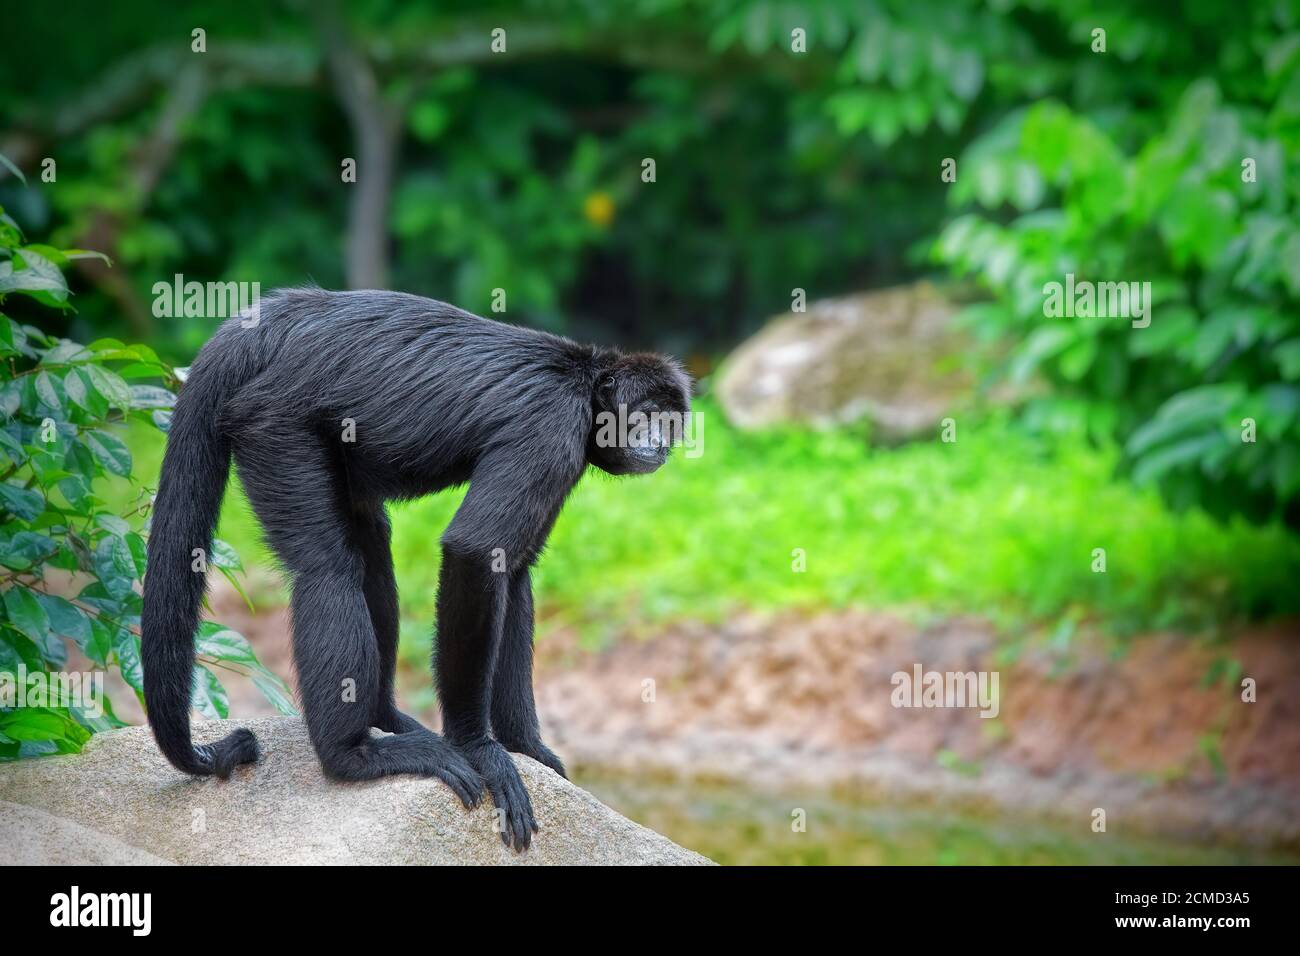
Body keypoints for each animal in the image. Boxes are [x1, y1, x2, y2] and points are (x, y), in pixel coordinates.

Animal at [140, 288, 691, 851]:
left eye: (670, 422)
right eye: (647, 415)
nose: (659, 442)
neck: (583, 380)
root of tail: (276, 316)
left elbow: (512, 569)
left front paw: (528, 748)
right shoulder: (551, 429)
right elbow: (477, 551)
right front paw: (482, 750)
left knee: (370, 544)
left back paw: (383, 717)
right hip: (272, 423)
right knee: (328, 568)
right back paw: (352, 757)